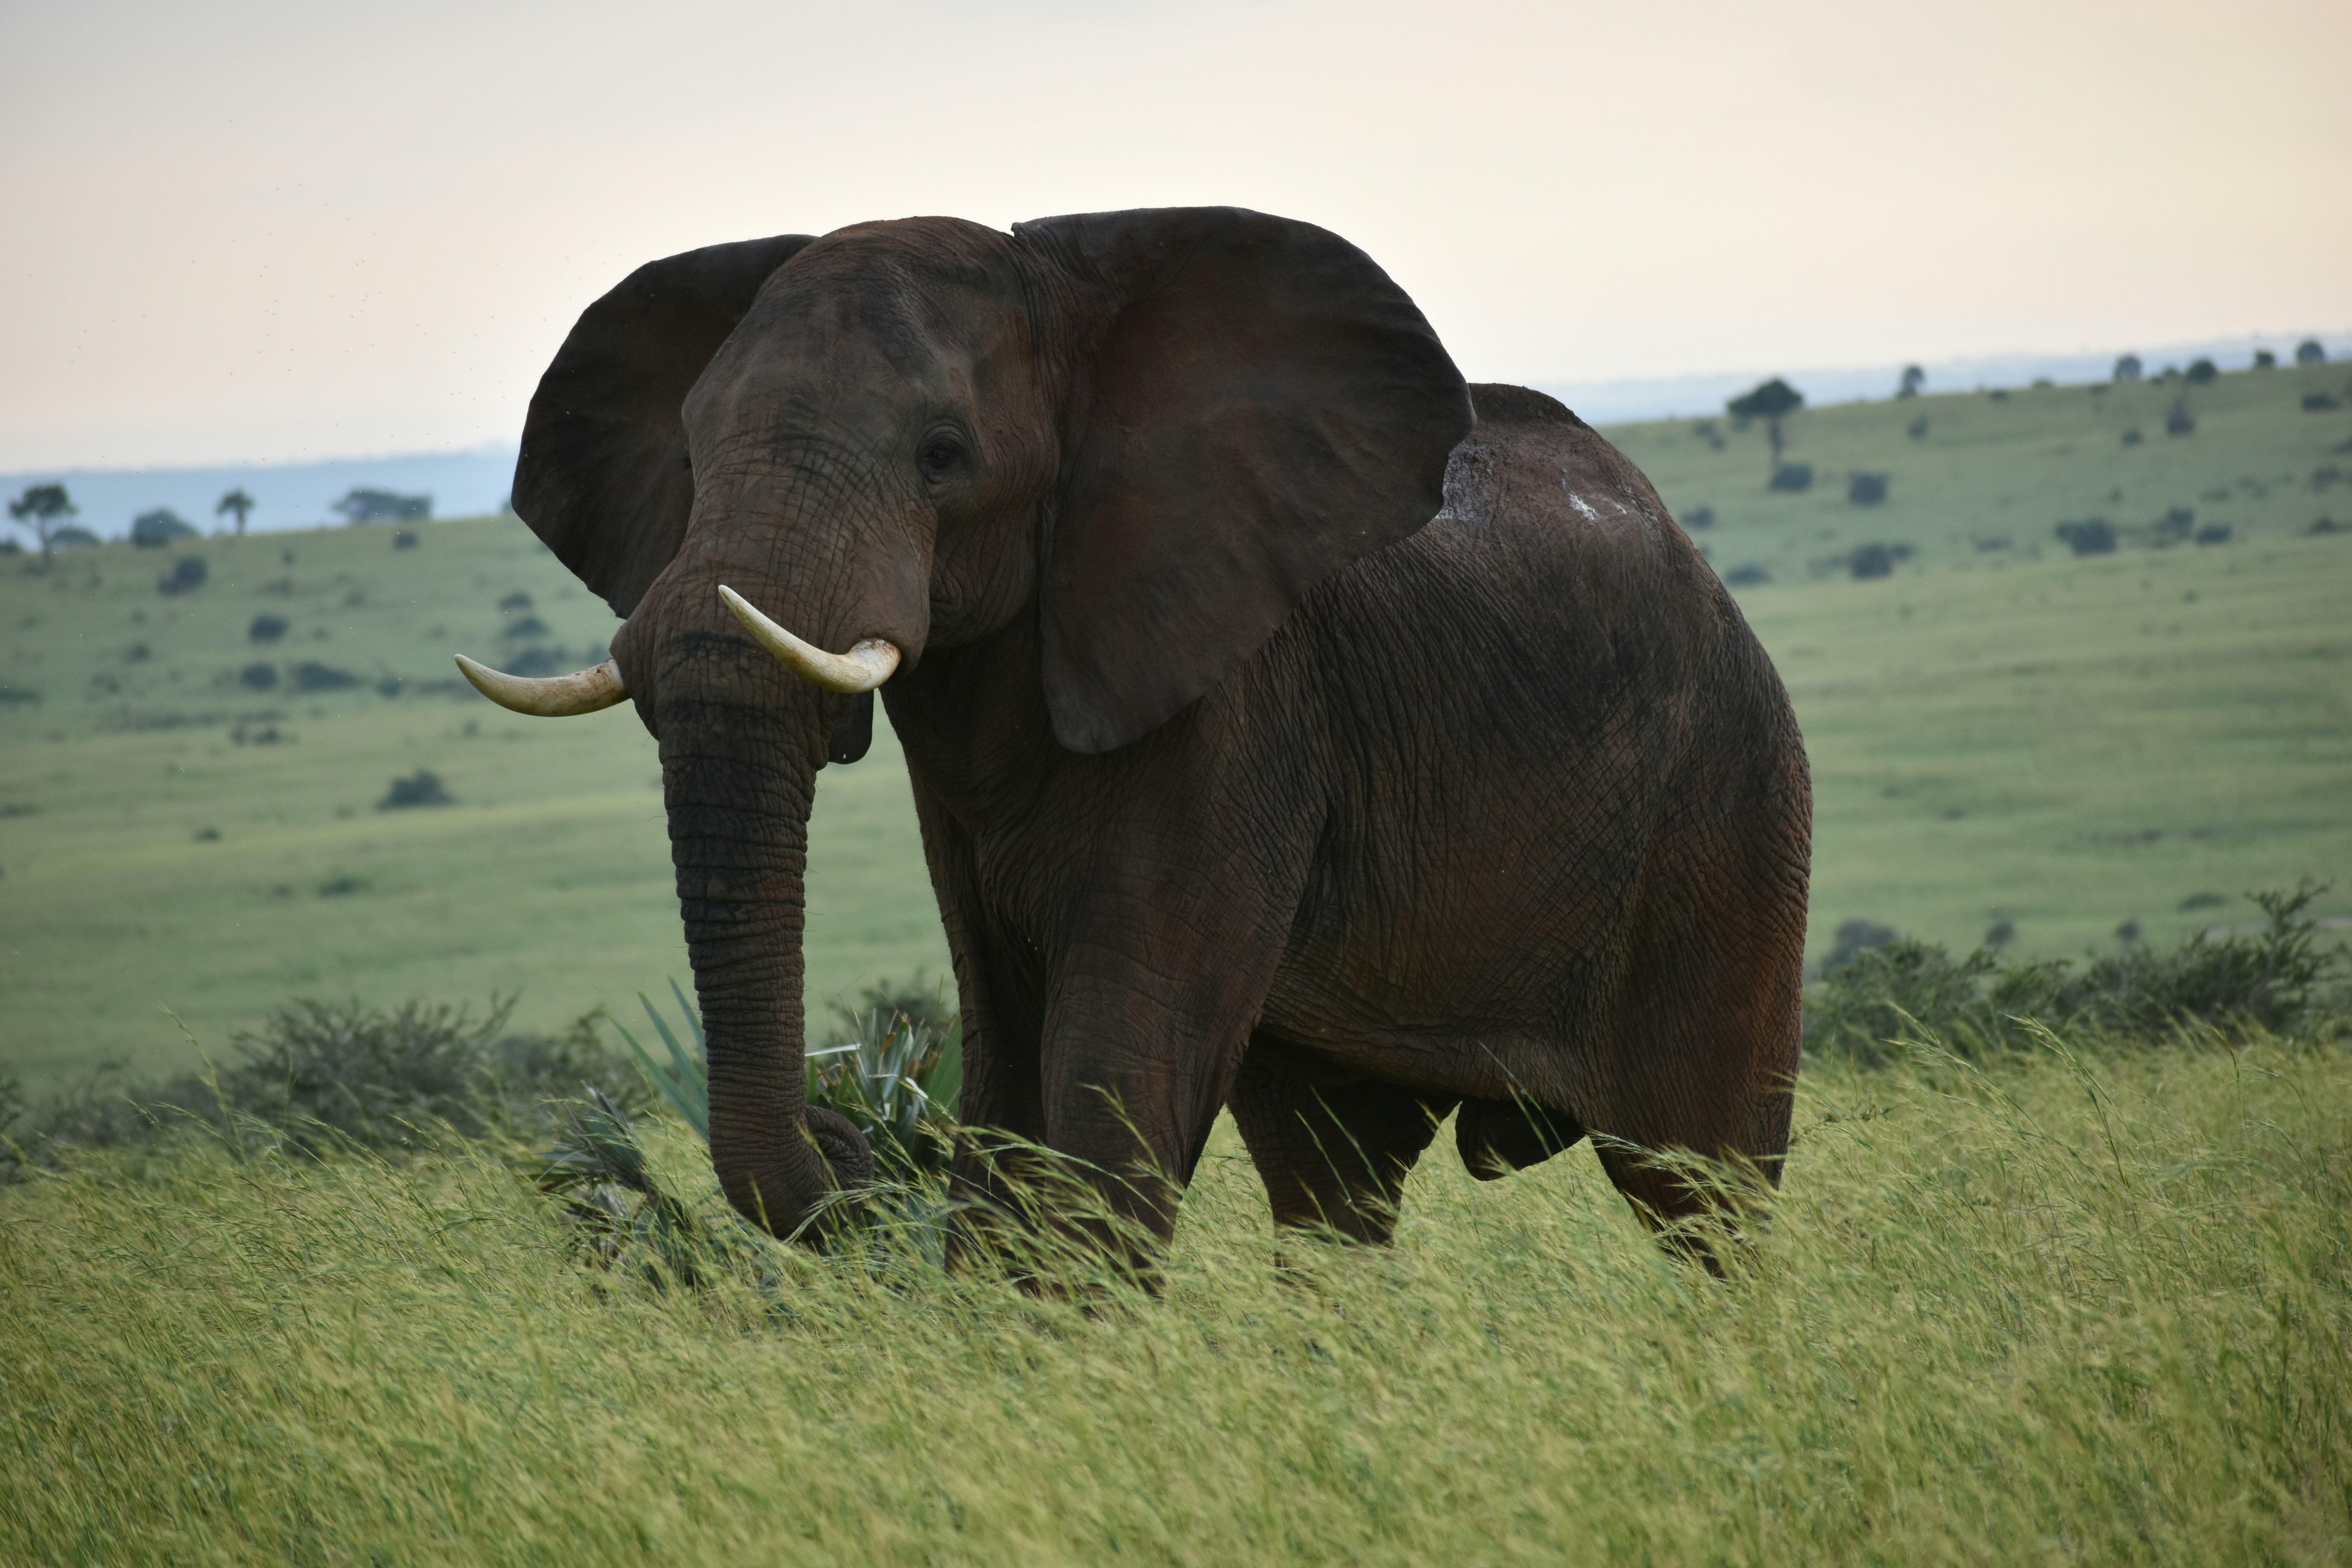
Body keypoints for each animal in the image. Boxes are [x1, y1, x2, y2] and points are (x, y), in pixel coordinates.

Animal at [458, 206, 1811, 1265]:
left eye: (942, 457)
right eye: (689, 456)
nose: (855, 1136)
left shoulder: (1242, 701)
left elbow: (1117, 1065)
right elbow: (1006, 1059)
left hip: (1730, 805)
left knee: (1704, 1187)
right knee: (1333, 1186)